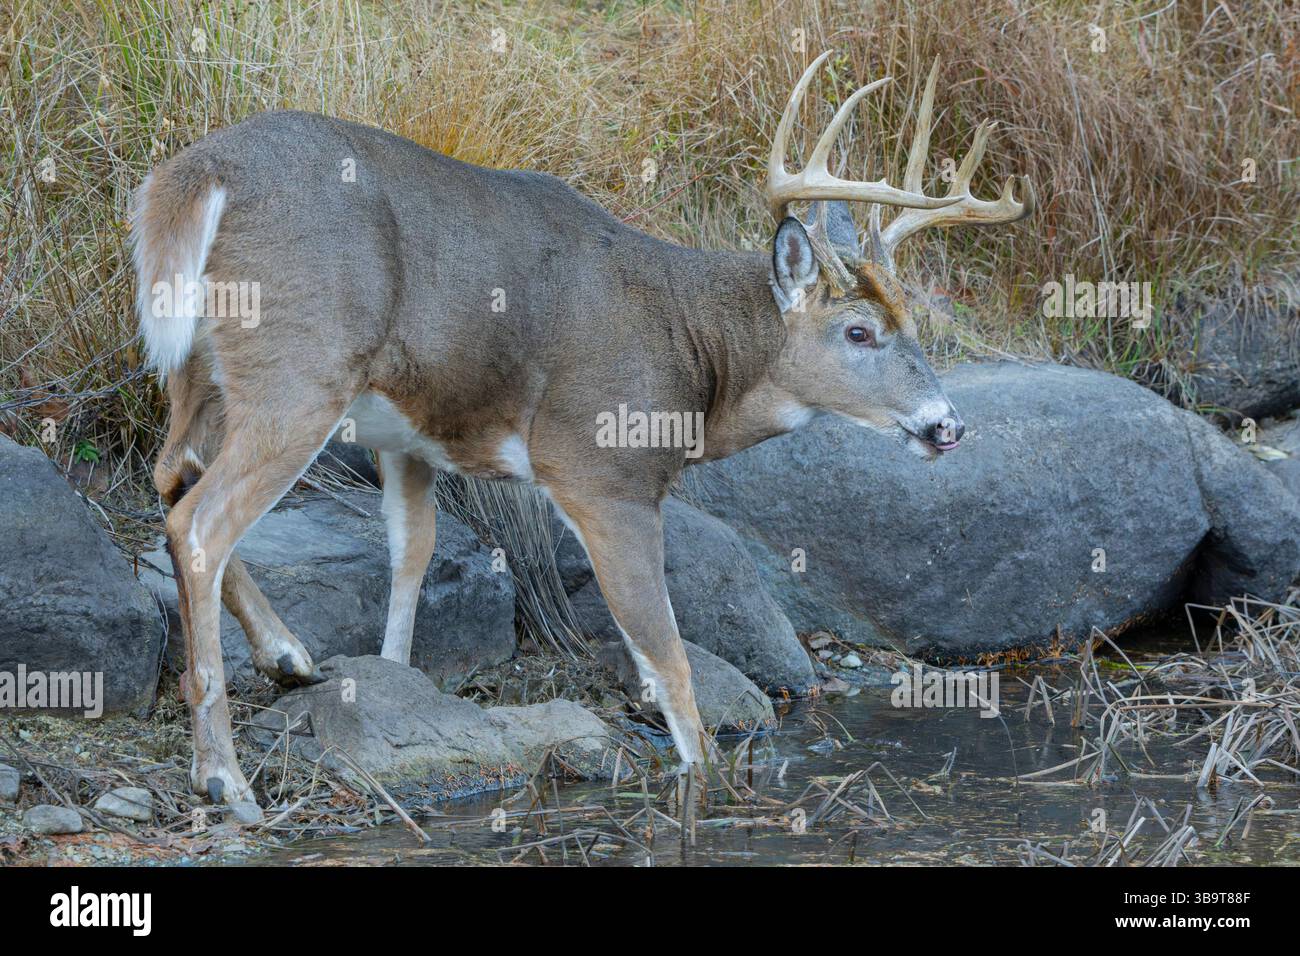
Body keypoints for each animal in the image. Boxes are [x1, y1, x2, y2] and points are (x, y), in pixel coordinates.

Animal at [132, 52, 1032, 810]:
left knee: (172, 474)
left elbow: (412, 555)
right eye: (858, 333)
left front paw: (392, 686)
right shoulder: (606, 471)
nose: (946, 425)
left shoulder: (410, 438)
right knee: (201, 522)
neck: (696, 357)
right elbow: (665, 654)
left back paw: (288, 658)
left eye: (914, 323)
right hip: (303, 364)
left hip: (203, 369)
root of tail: (196, 176)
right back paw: (223, 776)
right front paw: (705, 786)